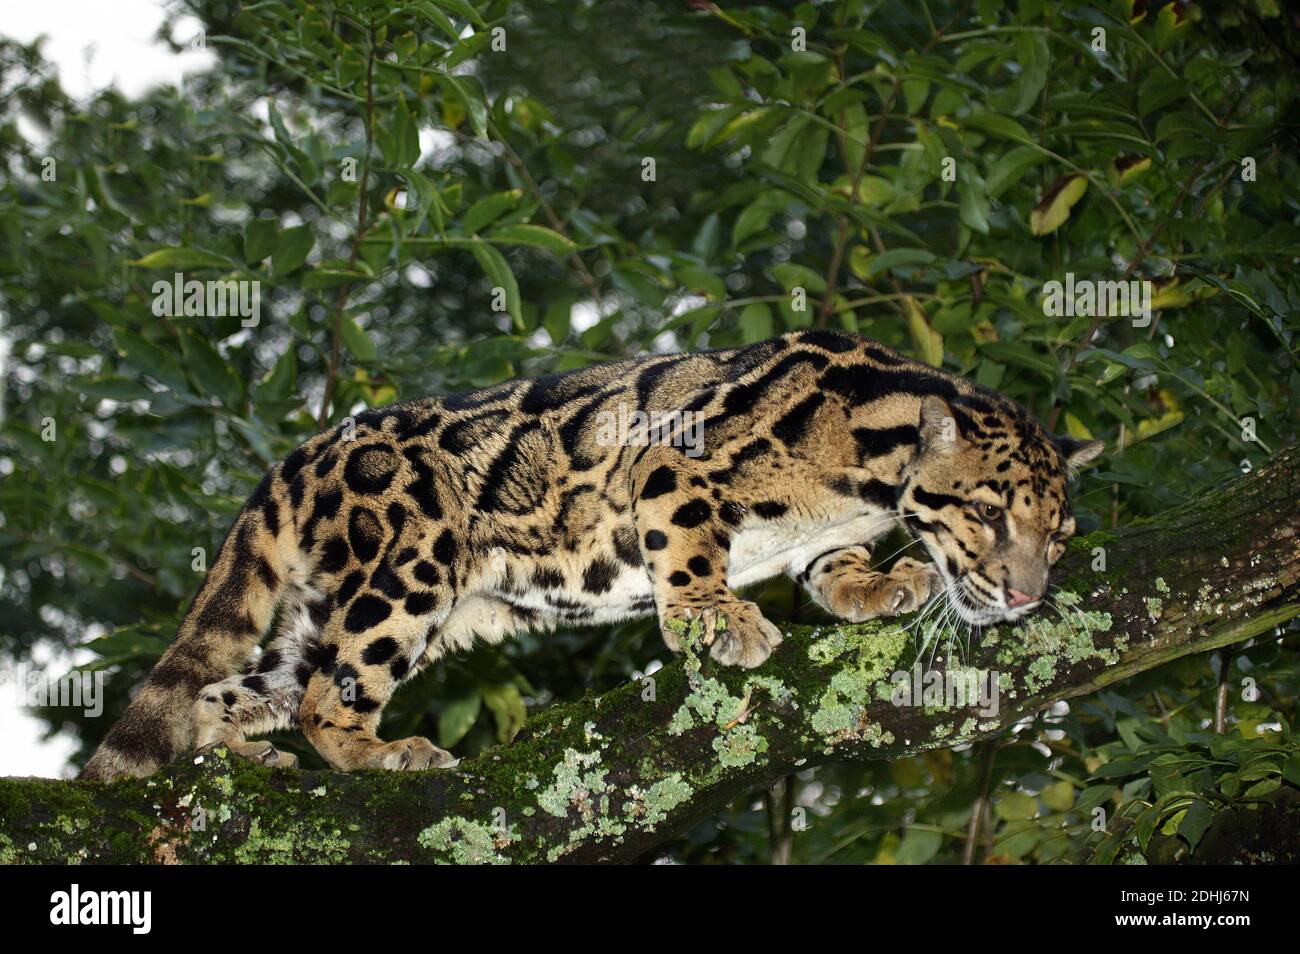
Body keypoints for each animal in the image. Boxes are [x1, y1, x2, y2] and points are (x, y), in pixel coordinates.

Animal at [82, 329, 1102, 781]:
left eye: (1057, 537)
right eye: (988, 515)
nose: (1025, 597)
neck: (870, 460)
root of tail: (300, 457)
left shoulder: (823, 530)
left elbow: (832, 566)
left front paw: (880, 584)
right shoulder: (672, 460)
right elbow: (688, 547)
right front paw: (714, 618)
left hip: (329, 609)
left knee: (237, 688)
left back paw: (237, 753)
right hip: (409, 566)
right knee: (329, 698)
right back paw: (380, 752)